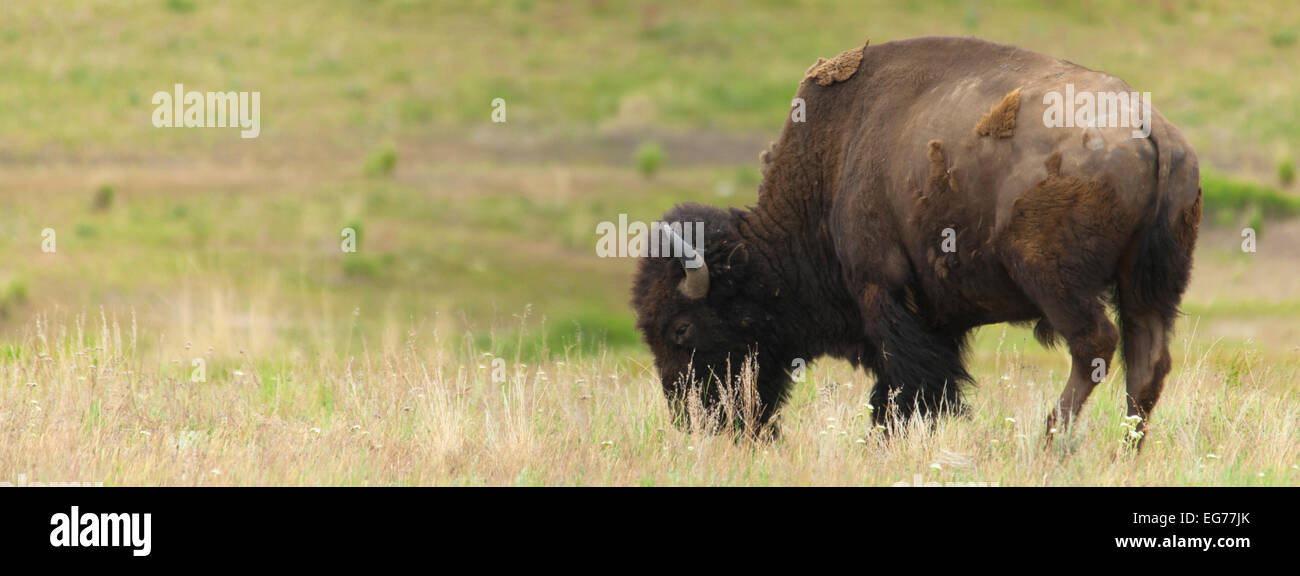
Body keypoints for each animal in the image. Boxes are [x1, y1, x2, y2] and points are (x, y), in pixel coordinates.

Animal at [631, 36, 1201, 445]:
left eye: (681, 329)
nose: (693, 421)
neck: (831, 165)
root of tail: (1152, 130)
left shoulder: (882, 291)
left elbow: (903, 385)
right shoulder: (937, 317)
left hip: (1055, 280)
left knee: (1095, 346)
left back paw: (1050, 441)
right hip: (1150, 287)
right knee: (1145, 362)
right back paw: (1125, 451)